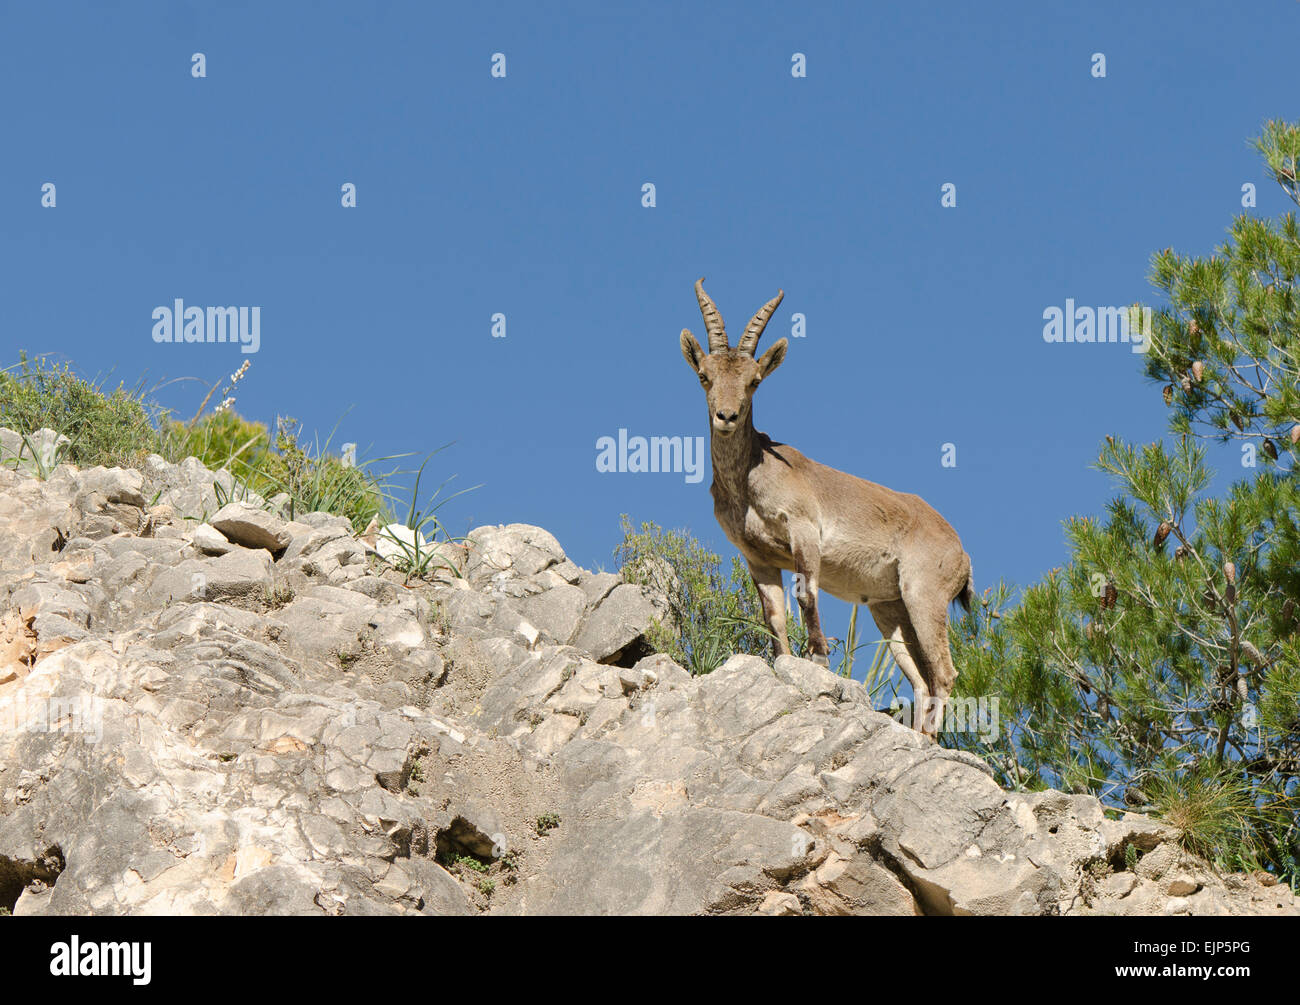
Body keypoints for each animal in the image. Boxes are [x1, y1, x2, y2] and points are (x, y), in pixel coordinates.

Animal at [679, 279, 974, 737]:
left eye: (754, 381)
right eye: (704, 376)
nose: (726, 416)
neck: (749, 477)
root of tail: (962, 554)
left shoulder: (804, 532)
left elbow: (807, 595)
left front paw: (818, 657)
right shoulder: (757, 557)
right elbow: (774, 615)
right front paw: (783, 662)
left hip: (924, 593)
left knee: (944, 673)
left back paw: (931, 738)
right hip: (890, 610)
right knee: (922, 679)